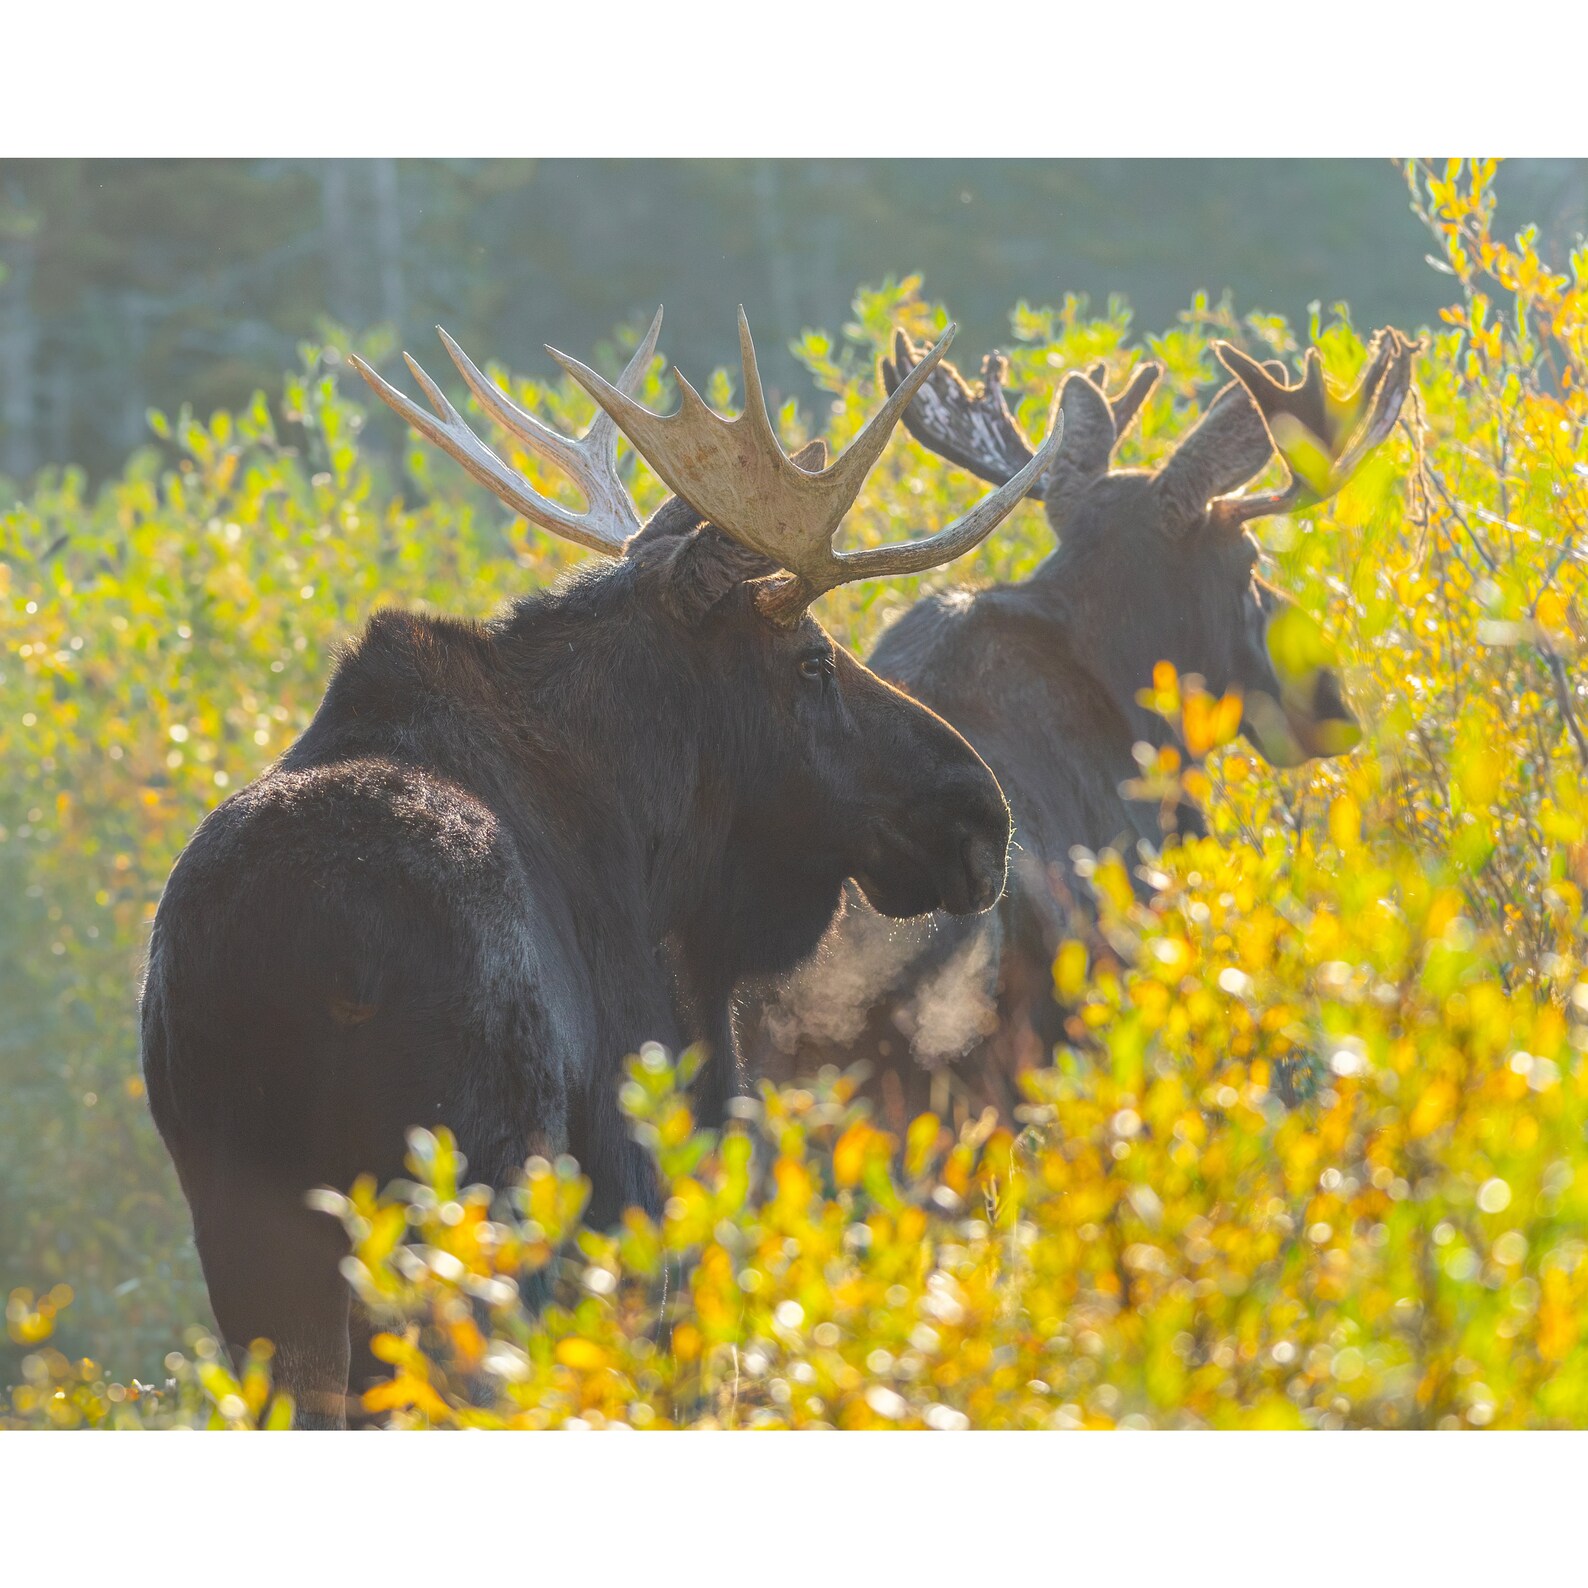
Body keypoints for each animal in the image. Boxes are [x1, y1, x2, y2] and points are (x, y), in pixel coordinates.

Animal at [140, 306, 1063, 1425]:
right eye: (809, 659)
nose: (981, 814)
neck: (651, 853)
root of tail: (303, 947)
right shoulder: (632, 1171)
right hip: (468, 1194)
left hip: (247, 1219)